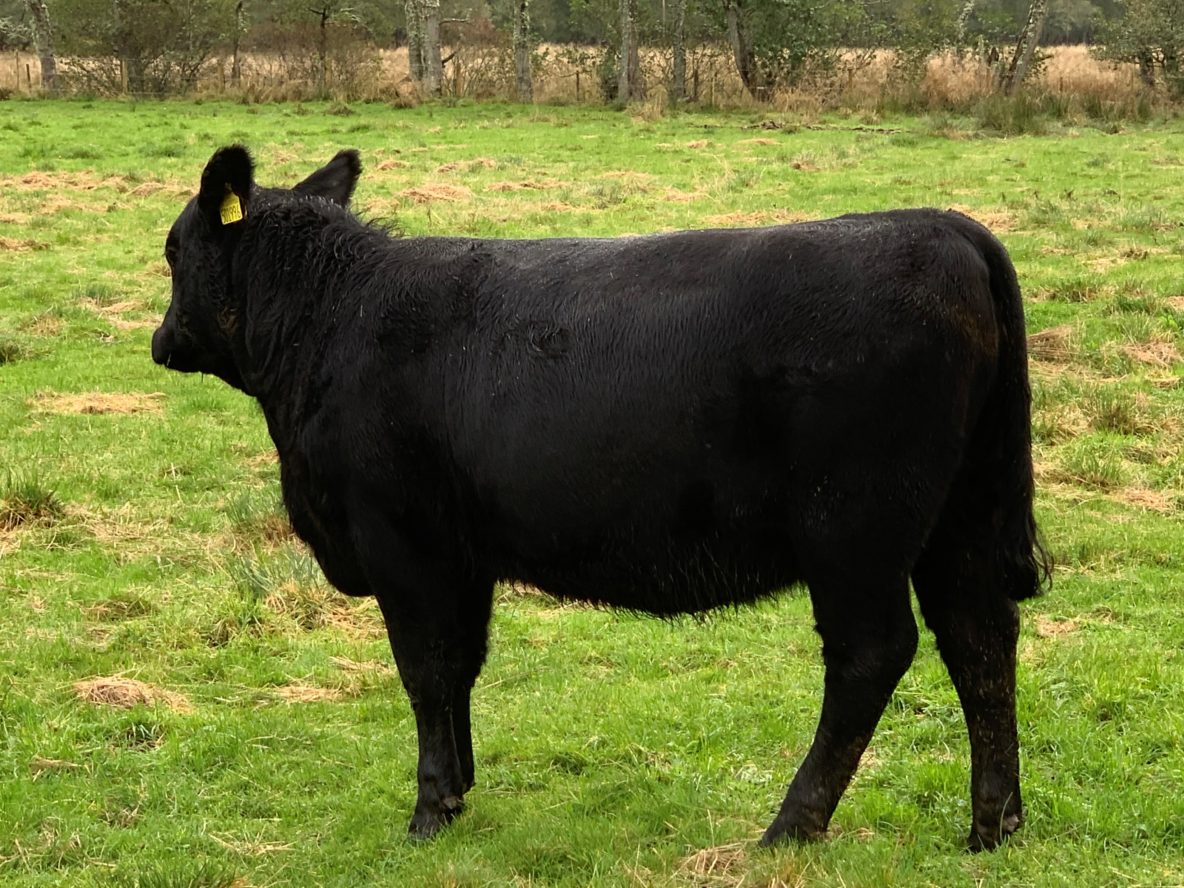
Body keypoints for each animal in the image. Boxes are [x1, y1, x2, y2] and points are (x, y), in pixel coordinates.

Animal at [152, 146, 1050, 851]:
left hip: (854, 528)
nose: (160, 340)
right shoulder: (463, 554)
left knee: (873, 655)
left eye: (171, 250)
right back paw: (993, 826)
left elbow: (426, 671)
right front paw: (464, 789)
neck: (333, 322)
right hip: (959, 519)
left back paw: (792, 826)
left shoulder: (402, 542)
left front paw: (430, 809)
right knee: (981, 642)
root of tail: (940, 226)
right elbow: (462, 666)